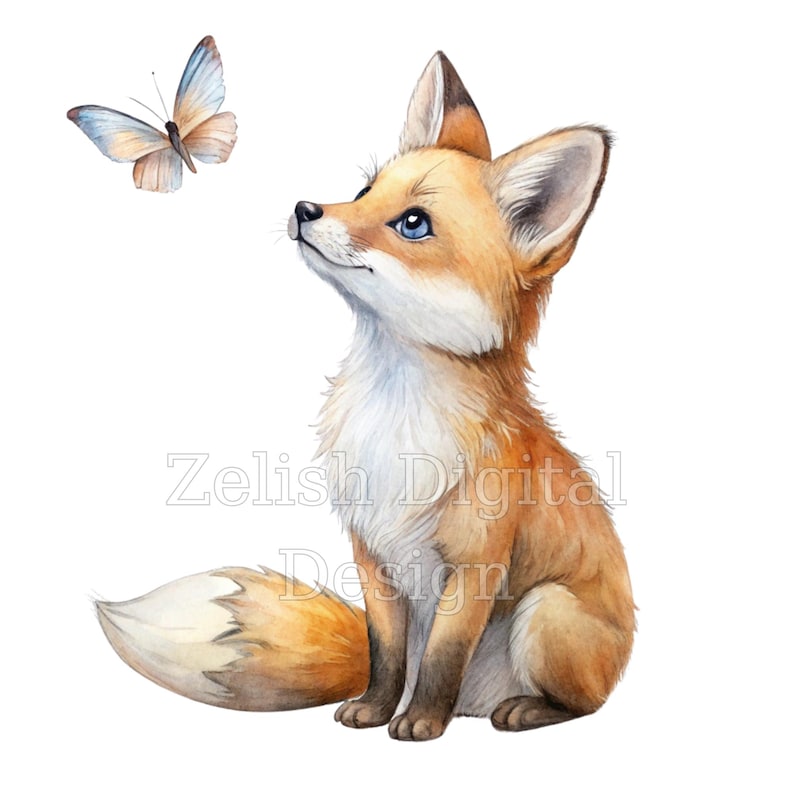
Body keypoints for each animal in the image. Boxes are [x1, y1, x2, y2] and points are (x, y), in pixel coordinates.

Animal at [97, 52, 635, 741]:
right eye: (362, 192)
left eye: (413, 222)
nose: (304, 208)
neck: (394, 416)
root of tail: (479, 702)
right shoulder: (372, 555)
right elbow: (386, 653)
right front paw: (375, 711)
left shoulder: (475, 567)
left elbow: (441, 658)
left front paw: (420, 724)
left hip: (546, 611)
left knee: (584, 702)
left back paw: (523, 709)